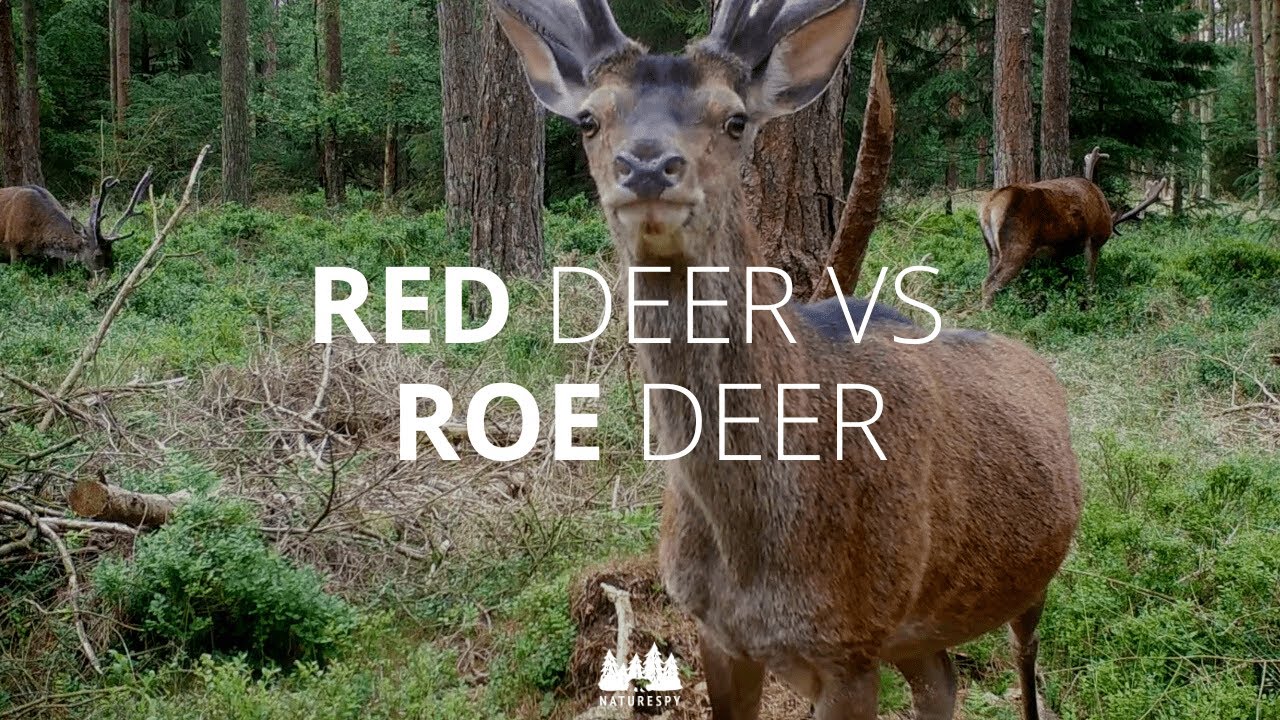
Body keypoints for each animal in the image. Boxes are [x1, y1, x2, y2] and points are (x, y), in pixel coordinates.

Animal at [495, 1, 1082, 718]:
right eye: (589, 119)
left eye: (734, 118)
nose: (647, 166)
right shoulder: (718, 632)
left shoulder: (851, 642)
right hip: (917, 633)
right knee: (942, 681)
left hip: (1031, 582)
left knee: (1025, 670)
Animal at [978, 147, 1168, 306]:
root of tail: (989, 205)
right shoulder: (1094, 239)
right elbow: (1089, 277)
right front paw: (1090, 303)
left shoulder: (1058, 251)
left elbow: (1063, 275)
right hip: (1018, 246)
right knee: (989, 283)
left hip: (991, 248)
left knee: (988, 276)